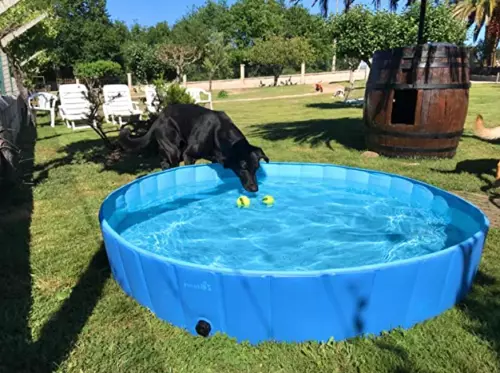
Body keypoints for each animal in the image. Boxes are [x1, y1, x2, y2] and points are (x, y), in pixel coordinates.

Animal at [118, 104, 270, 192]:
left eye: (256, 168)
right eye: (243, 168)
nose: (255, 189)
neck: (219, 131)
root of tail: (158, 119)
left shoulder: (215, 159)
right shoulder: (189, 156)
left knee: (163, 162)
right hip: (174, 150)